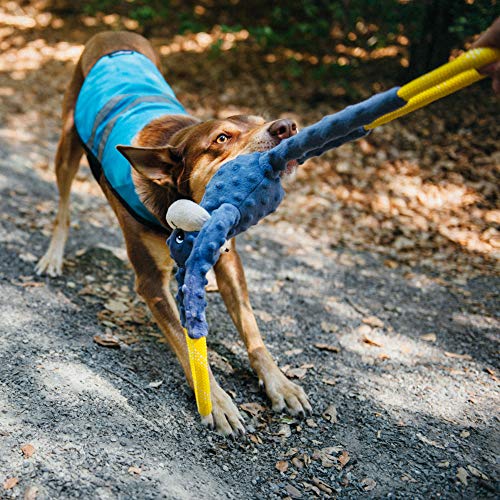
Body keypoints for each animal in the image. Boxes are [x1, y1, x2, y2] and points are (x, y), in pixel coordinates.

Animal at [36, 32, 308, 438]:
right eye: (222, 138)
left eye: (262, 121)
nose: (287, 126)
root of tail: (113, 34)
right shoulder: (151, 282)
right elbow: (186, 342)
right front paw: (217, 401)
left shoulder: (229, 260)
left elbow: (252, 330)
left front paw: (279, 383)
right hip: (67, 145)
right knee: (64, 206)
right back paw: (53, 255)